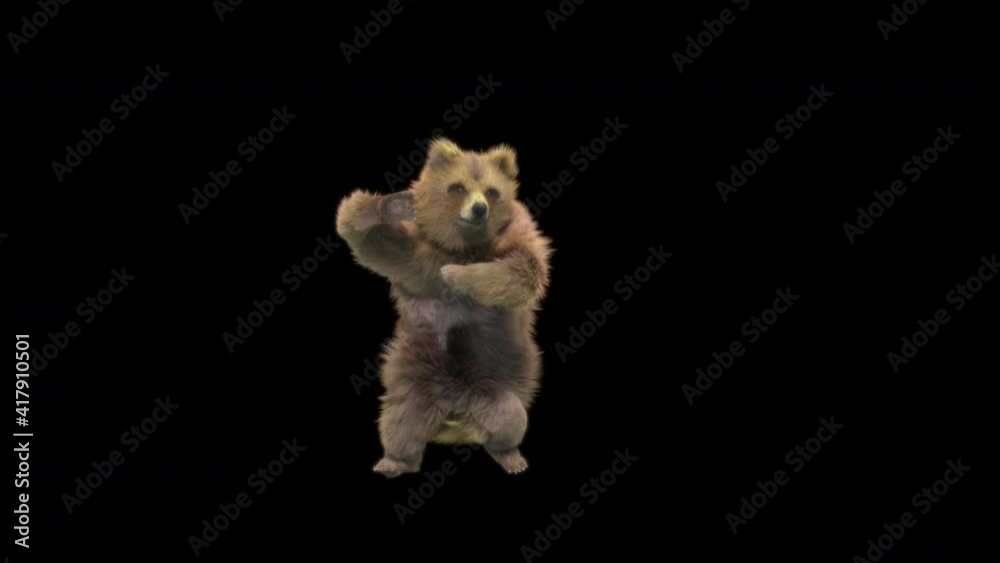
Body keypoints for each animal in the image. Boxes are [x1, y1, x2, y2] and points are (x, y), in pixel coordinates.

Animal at [336, 138, 552, 477]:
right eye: (457, 187)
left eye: (492, 191)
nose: (479, 208)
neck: (464, 244)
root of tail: (456, 408)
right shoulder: (418, 252)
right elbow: (375, 243)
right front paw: (386, 206)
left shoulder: (518, 235)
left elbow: (522, 273)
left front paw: (456, 275)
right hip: (417, 373)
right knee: (401, 419)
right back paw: (393, 460)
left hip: (495, 381)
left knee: (509, 416)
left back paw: (509, 455)